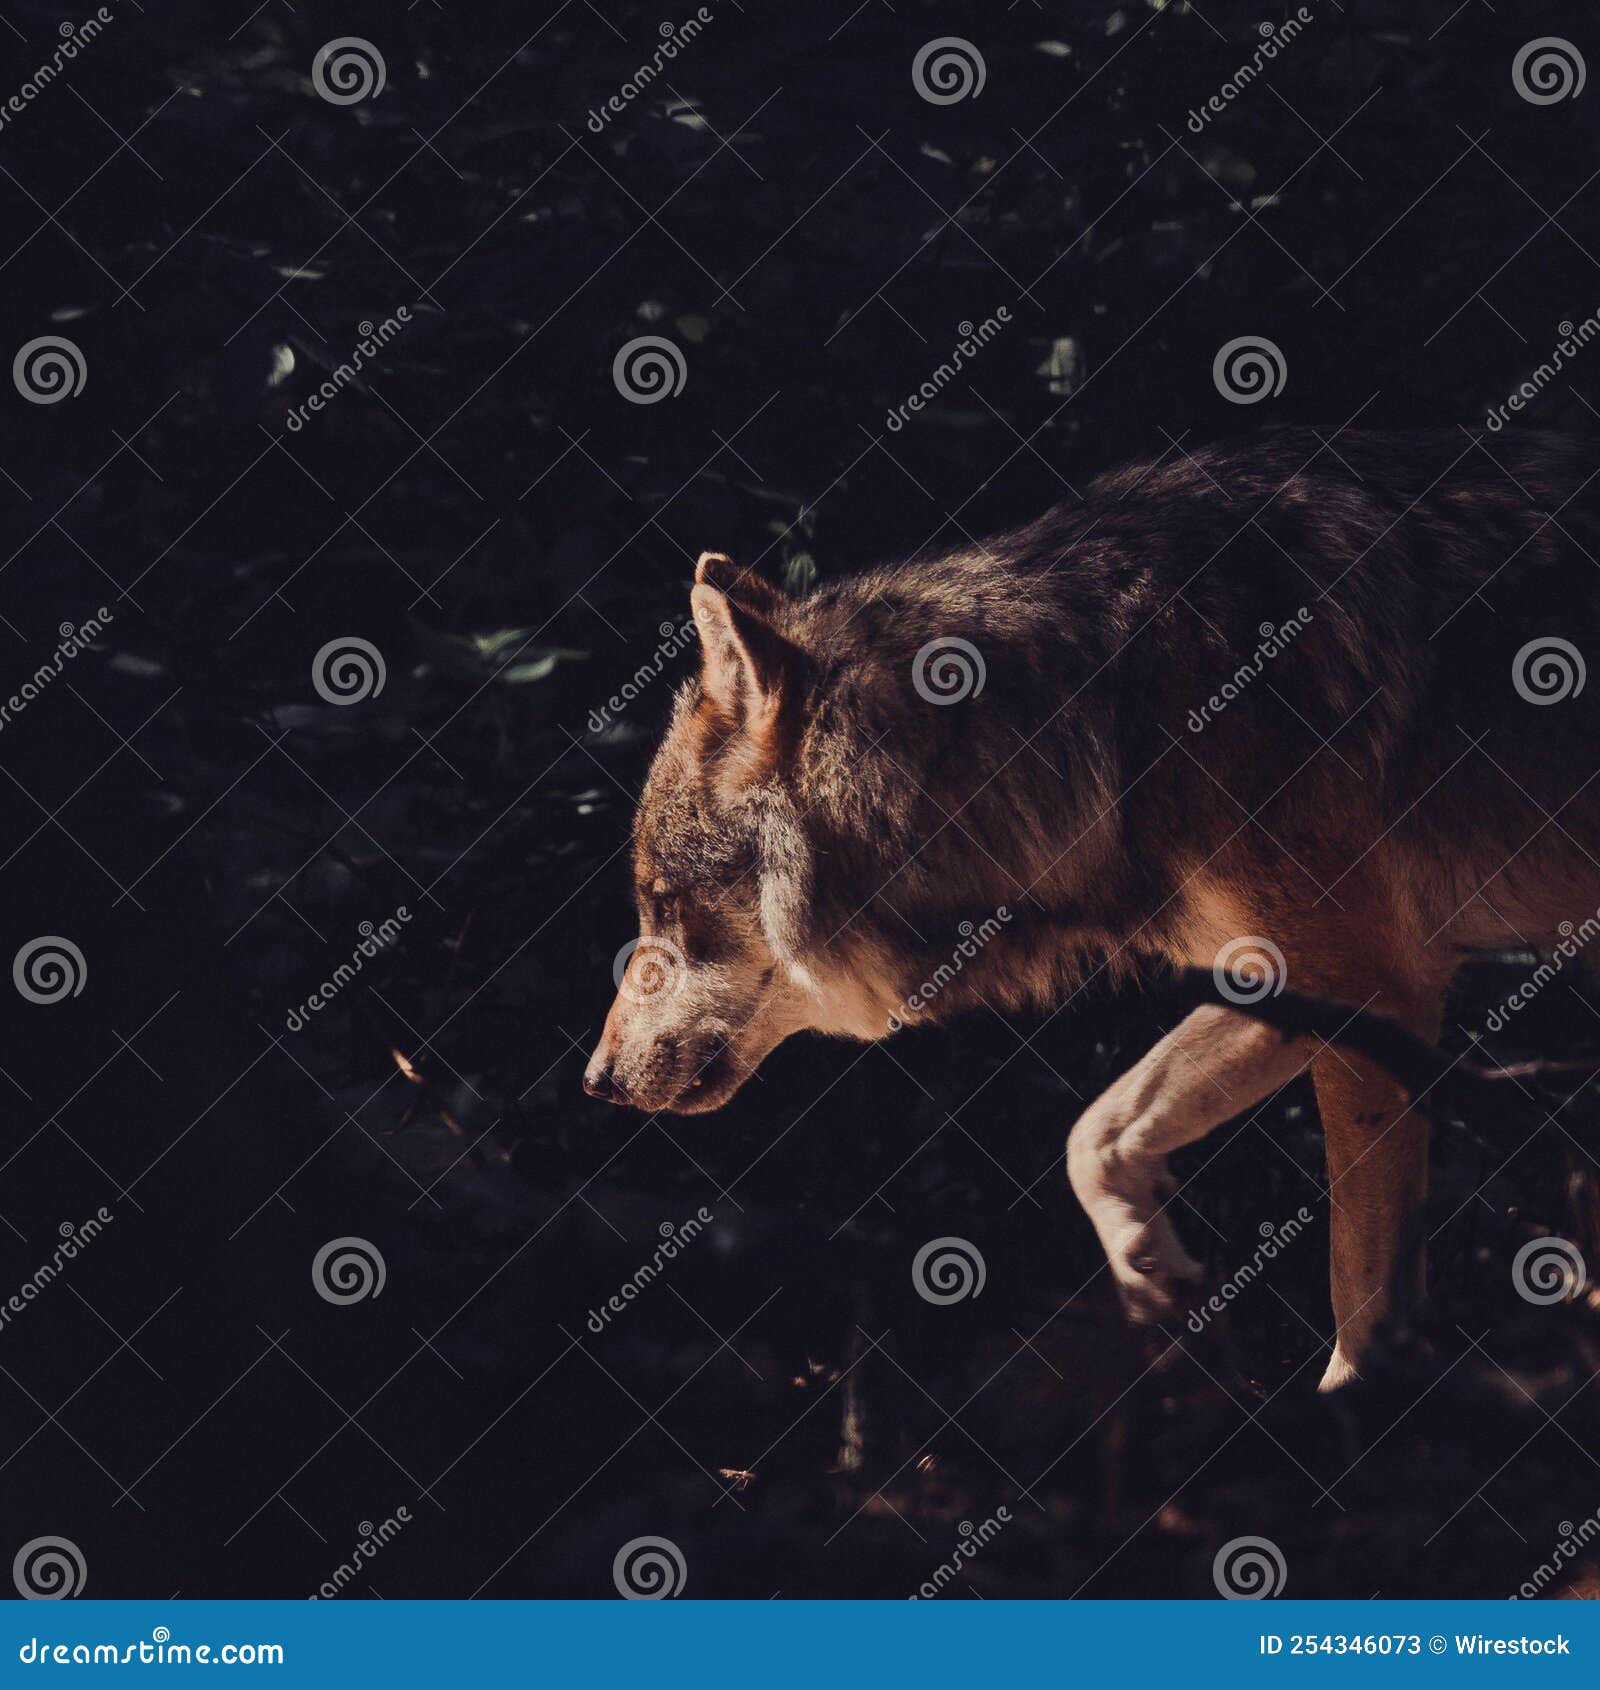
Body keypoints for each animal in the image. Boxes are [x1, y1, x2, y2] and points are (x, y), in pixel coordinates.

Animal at [585, 427, 1600, 1391]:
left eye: (663, 903)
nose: (595, 1082)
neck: (1116, 721)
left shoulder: (1373, 982)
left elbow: (1358, 1274)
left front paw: (1355, 1399)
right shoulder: (1299, 980)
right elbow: (1095, 1132)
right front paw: (1151, 1273)